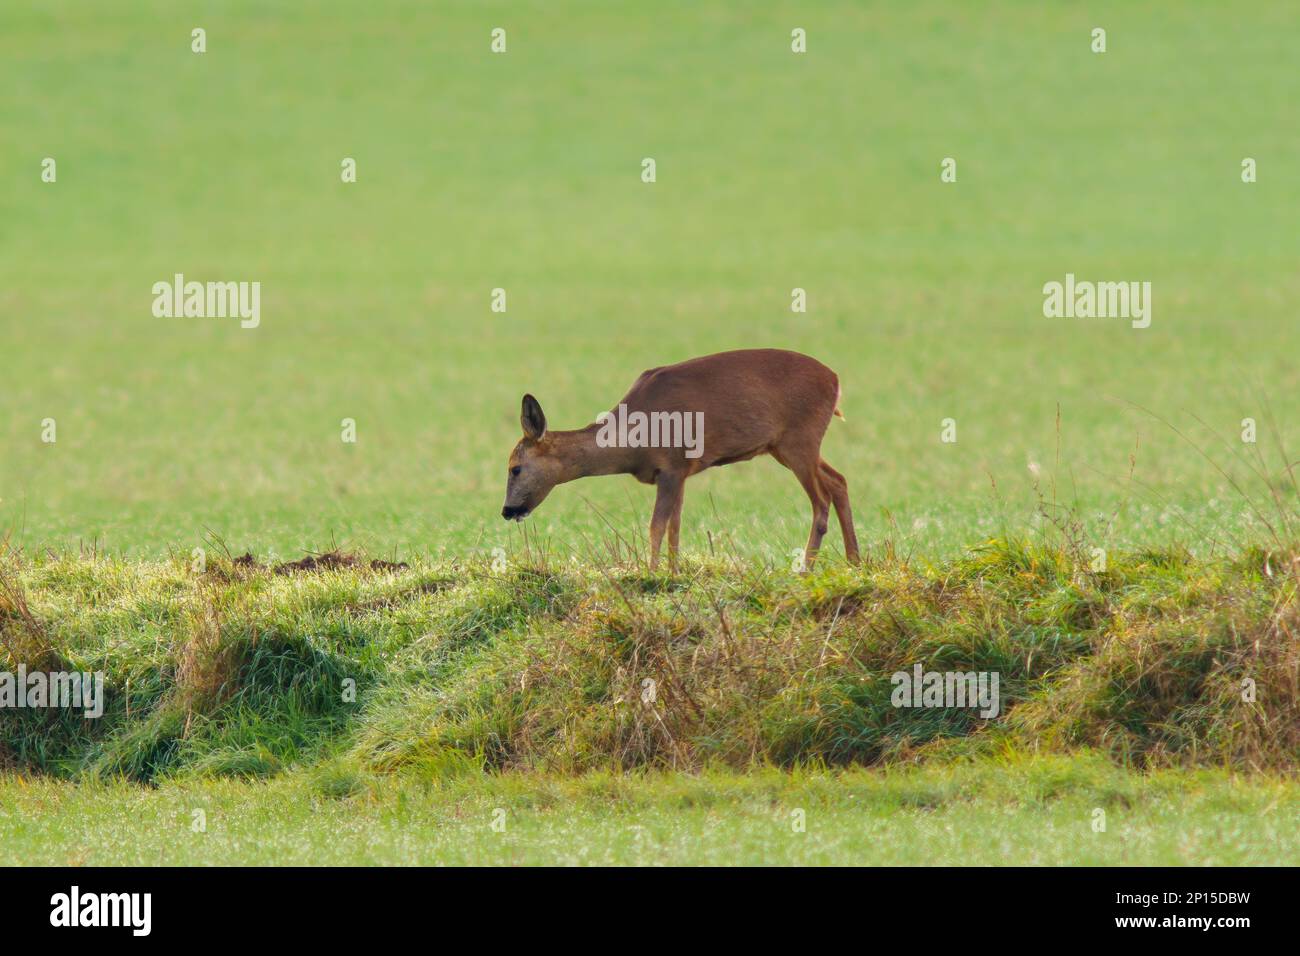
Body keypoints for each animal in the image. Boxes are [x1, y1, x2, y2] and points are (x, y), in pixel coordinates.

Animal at [501, 348, 860, 573]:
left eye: (515, 468)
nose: (507, 510)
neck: (632, 437)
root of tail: (836, 381)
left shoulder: (671, 465)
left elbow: (657, 525)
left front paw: (651, 573)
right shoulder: (682, 471)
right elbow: (675, 525)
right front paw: (673, 572)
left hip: (800, 439)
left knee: (821, 500)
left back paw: (806, 568)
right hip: (787, 446)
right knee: (839, 481)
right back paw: (854, 562)